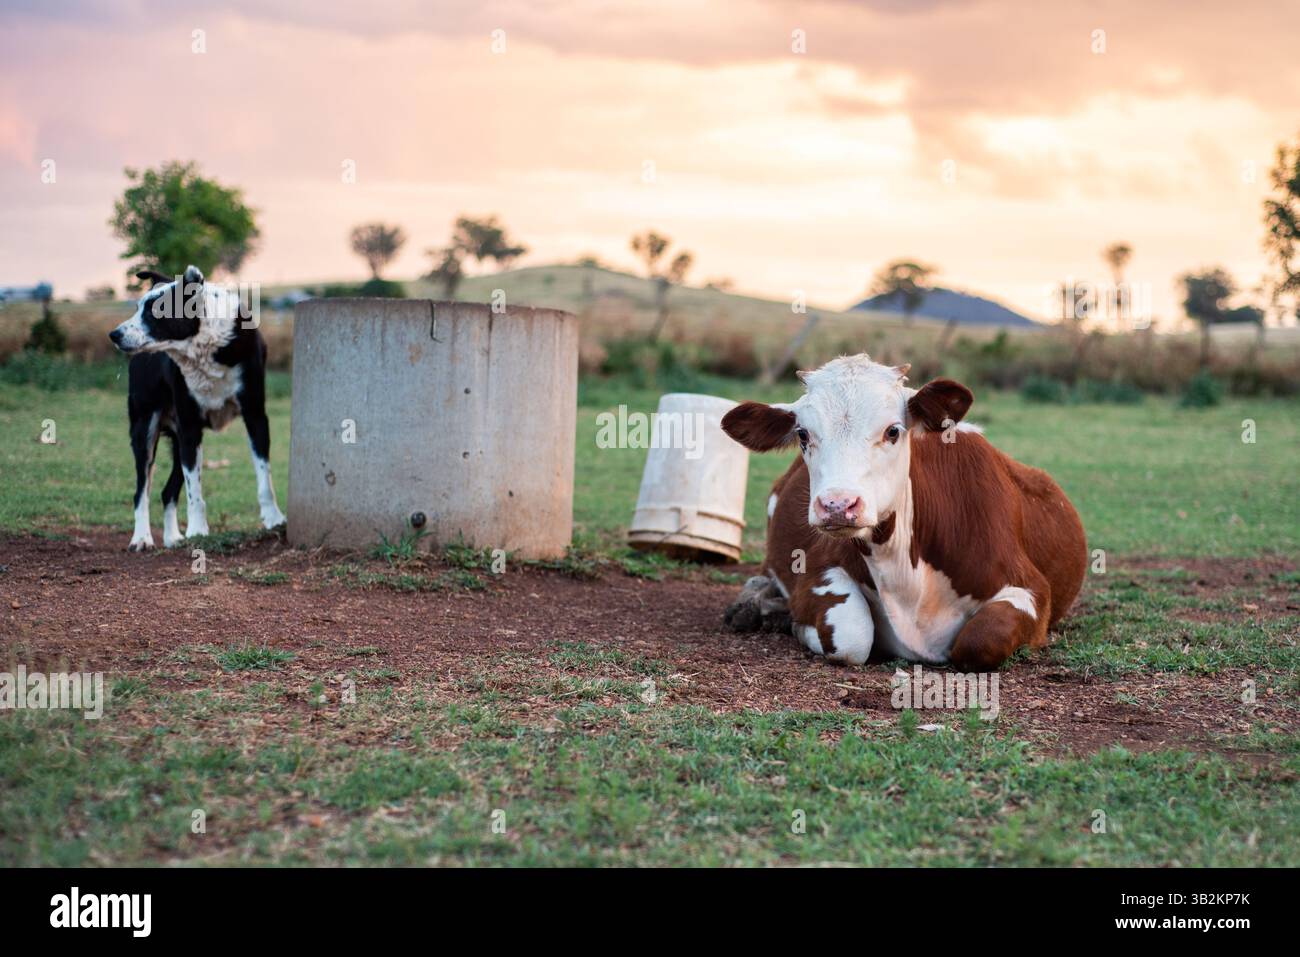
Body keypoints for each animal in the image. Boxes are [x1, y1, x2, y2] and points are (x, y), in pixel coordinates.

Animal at [721, 354, 1086, 671]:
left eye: (893, 431)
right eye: (802, 434)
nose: (838, 505)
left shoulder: (1031, 588)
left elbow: (982, 640)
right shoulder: (815, 568)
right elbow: (852, 637)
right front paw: (794, 622)